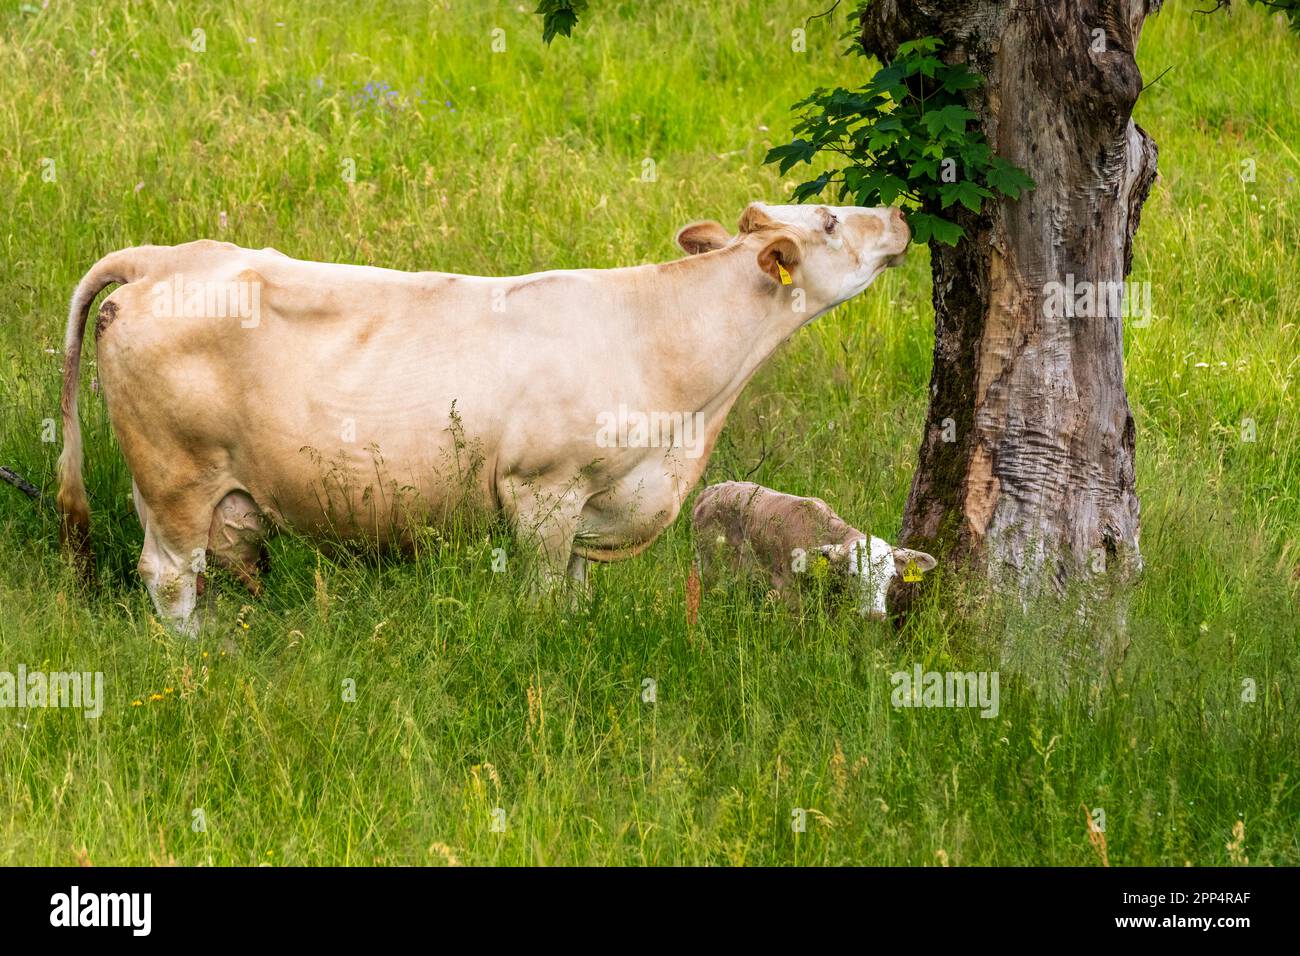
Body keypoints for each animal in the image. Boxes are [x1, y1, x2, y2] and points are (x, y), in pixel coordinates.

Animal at [56, 202, 911, 634]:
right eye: (830, 221)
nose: (901, 213)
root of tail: (163, 257)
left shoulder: (593, 505)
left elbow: (574, 599)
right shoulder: (542, 491)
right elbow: (539, 600)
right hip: (176, 475)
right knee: (170, 577)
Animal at [691, 481, 937, 619]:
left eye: (891, 576)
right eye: (854, 575)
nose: (875, 616)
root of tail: (709, 491)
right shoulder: (789, 595)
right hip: (710, 567)